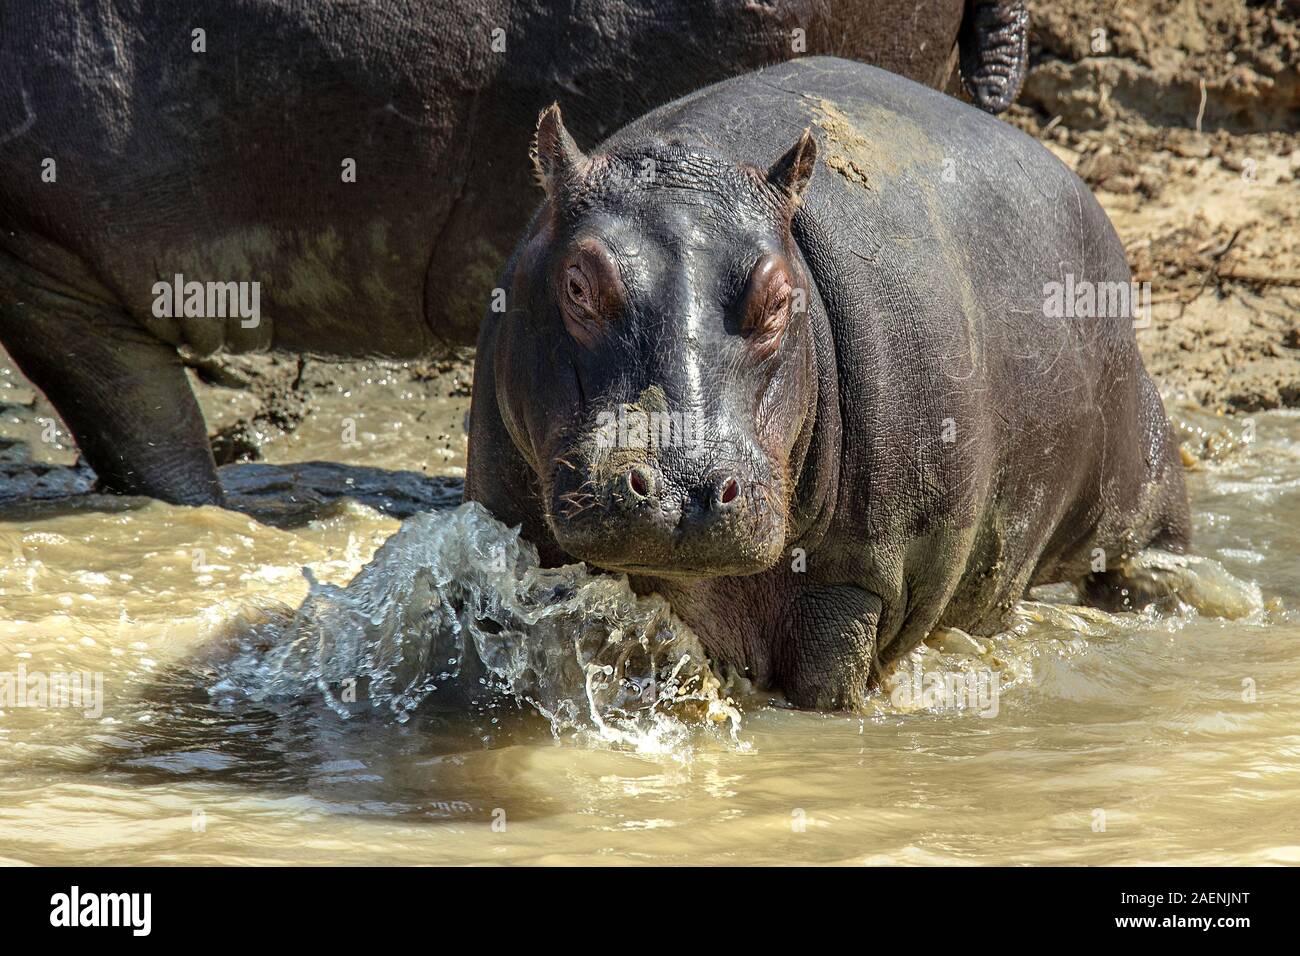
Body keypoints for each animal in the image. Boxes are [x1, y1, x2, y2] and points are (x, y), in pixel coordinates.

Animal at [464, 56, 1191, 710]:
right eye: (576, 284)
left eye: (781, 299)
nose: (683, 487)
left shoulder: (853, 583)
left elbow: (829, 691)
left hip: (1139, 469)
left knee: (1148, 548)